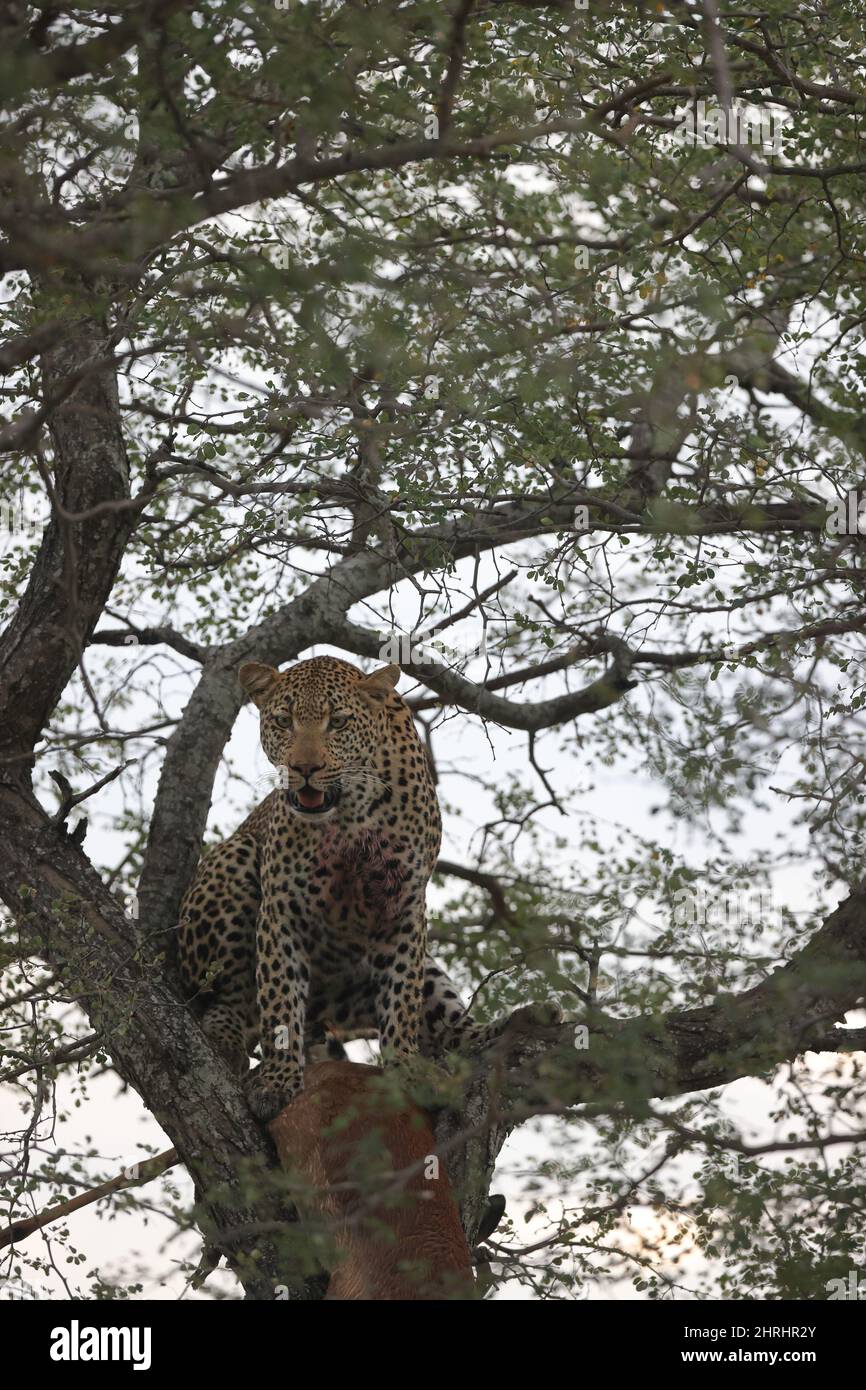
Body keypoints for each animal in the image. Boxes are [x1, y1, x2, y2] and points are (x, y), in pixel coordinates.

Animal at [178, 655, 529, 1121]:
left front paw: (406, 1069)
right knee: (233, 995)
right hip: (234, 859)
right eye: (284, 720)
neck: (349, 814)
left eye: (339, 721)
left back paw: (512, 1024)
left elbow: (401, 999)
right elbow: (278, 998)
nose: (305, 769)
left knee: (450, 1023)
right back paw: (226, 1035)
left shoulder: (405, 906)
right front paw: (277, 1080)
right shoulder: (281, 909)